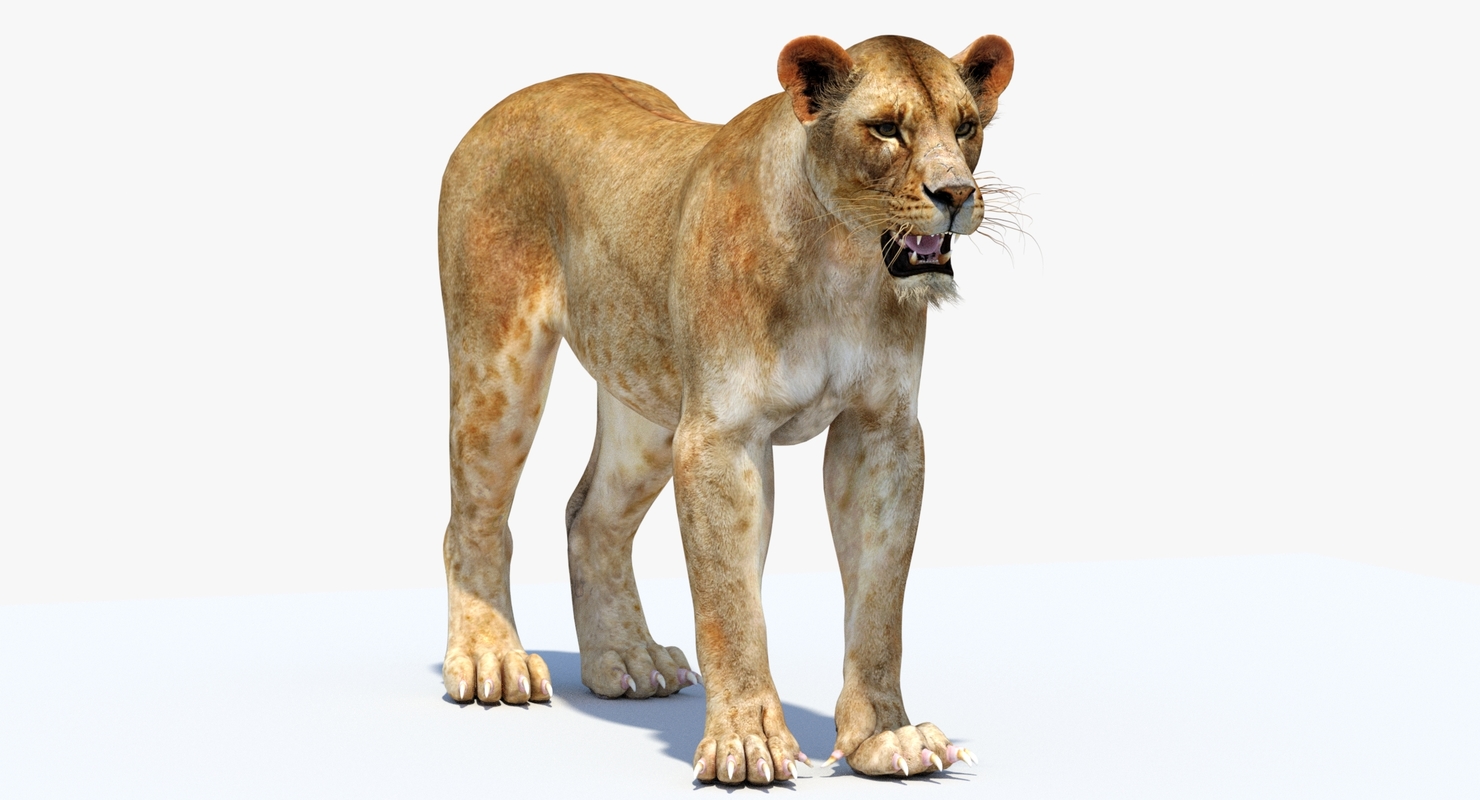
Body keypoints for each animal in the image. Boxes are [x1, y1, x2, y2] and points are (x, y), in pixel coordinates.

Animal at [435, 34, 1014, 783]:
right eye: (886, 128)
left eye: (966, 126)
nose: (956, 194)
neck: (844, 263)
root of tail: (513, 99)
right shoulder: (720, 438)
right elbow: (730, 602)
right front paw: (747, 741)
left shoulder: (881, 432)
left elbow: (879, 598)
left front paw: (886, 738)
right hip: (500, 365)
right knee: (473, 519)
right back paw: (491, 658)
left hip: (649, 405)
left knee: (589, 515)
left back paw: (628, 660)